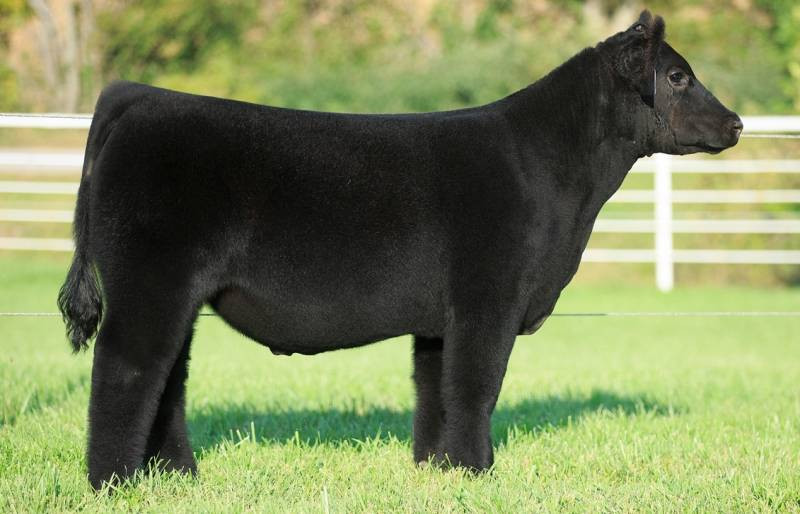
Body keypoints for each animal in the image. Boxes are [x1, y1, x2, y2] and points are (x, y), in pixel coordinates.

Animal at [59, 10, 741, 489]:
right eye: (677, 76)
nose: (736, 123)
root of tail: (138, 95)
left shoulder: (441, 319)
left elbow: (435, 389)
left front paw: (442, 472)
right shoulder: (487, 301)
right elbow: (475, 386)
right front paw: (478, 471)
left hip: (176, 293)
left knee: (168, 377)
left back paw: (175, 476)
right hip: (150, 282)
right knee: (127, 368)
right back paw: (113, 482)